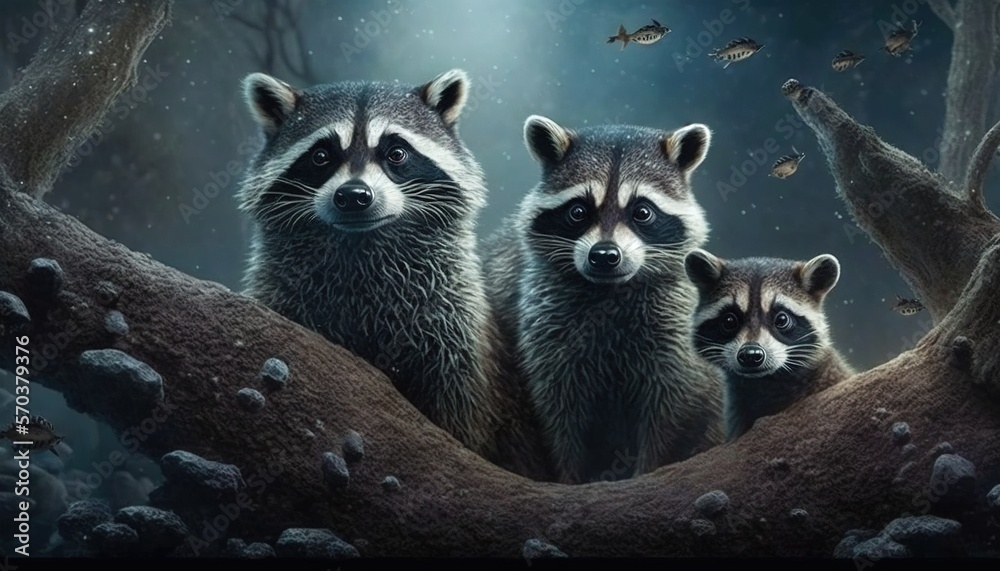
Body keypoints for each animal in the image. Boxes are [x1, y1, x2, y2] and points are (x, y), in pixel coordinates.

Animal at [236, 69, 502, 456]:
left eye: (396, 153)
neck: (362, 245)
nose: (353, 196)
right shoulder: (282, 297)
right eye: (321, 155)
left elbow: (459, 407)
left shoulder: (452, 323)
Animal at [484, 115, 725, 484]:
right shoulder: (545, 320)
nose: (604, 256)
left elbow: (673, 408)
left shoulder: (674, 322)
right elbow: (558, 414)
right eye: (578, 211)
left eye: (642, 212)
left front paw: (649, 469)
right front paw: (569, 477)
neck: (609, 291)